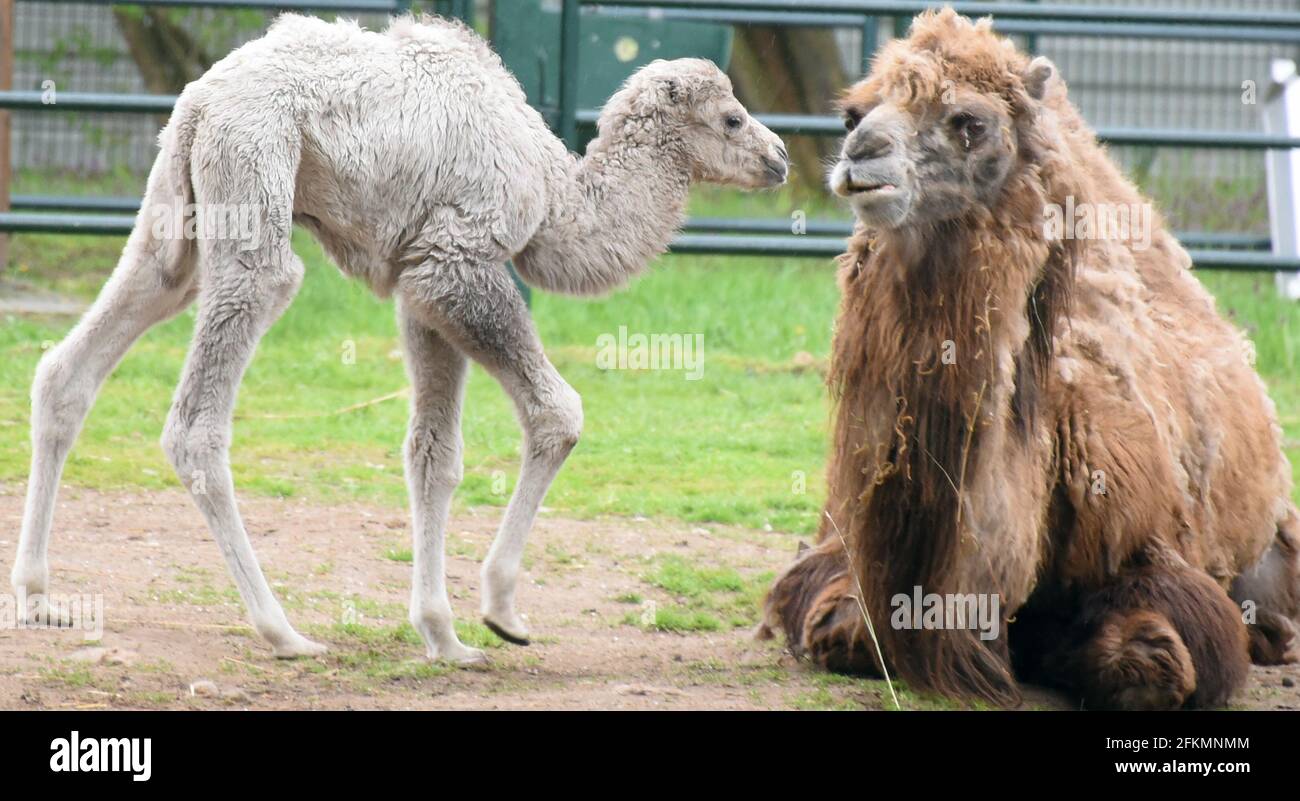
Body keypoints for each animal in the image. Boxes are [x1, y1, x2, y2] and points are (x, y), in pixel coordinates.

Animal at [10, 14, 787, 665]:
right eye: (731, 117)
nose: (779, 156)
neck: (556, 197)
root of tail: (200, 101)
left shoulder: (422, 287)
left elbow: (432, 456)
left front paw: (443, 635)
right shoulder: (458, 261)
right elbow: (558, 413)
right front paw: (502, 611)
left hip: (177, 218)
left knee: (79, 359)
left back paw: (39, 597)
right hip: (254, 185)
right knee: (201, 416)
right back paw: (283, 630)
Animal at [760, 9, 1300, 710]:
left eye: (969, 121)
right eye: (853, 114)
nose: (861, 154)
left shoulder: (1149, 542)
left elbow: (1156, 660)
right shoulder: (844, 555)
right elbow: (840, 626)